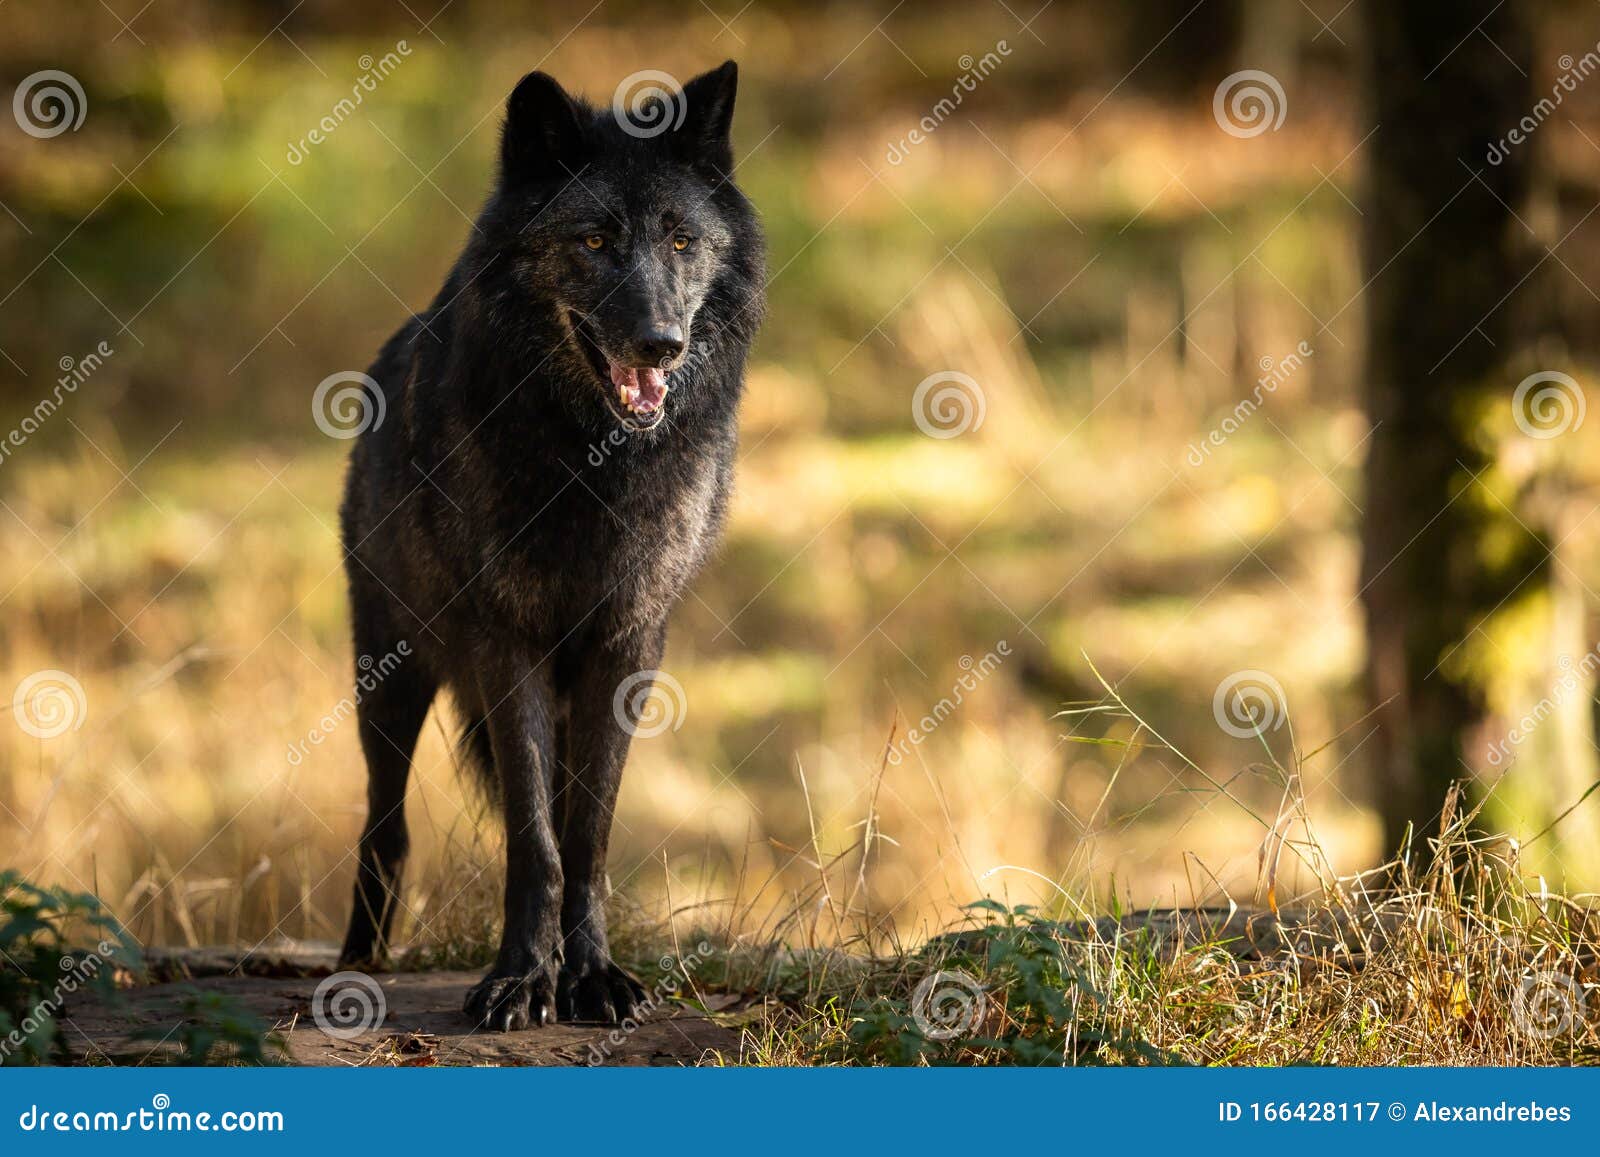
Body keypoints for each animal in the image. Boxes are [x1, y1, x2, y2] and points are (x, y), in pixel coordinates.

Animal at [334, 61, 764, 1031]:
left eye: (683, 241)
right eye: (595, 240)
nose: (659, 343)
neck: (591, 465)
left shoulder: (627, 647)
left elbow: (586, 832)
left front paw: (590, 976)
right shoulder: (508, 643)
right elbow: (535, 836)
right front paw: (521, 979)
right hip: (389, 674)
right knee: (385, 828)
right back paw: (354, 967)